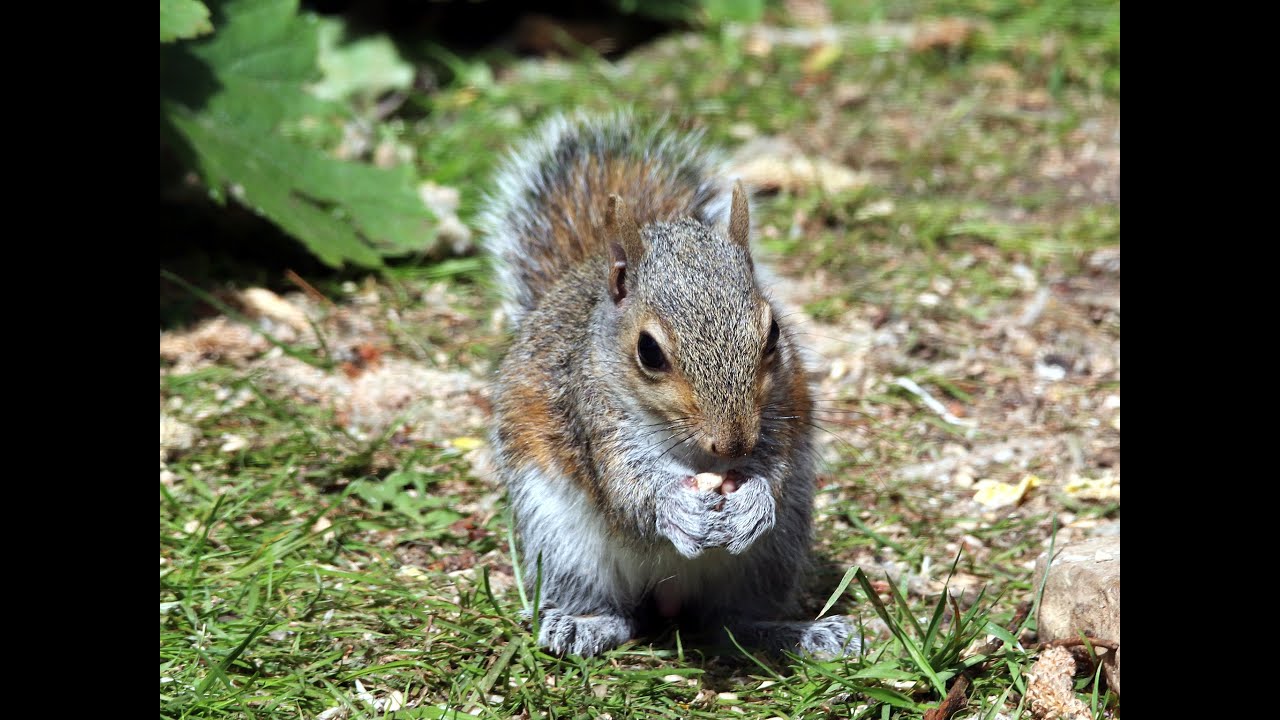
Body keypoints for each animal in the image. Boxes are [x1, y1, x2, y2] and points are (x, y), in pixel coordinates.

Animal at [479, 112, 858, 658]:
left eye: (773, 334)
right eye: (649, 352)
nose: (734, 444)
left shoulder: (782, 409)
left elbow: (777, 467)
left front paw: (755, 499)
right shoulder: (592, 413)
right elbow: (627, 490)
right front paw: (675, 507)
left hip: (774, 555)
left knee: (731, 624)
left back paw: (800, 632)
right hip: (562, 540)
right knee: (613, 610)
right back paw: (584, 624)